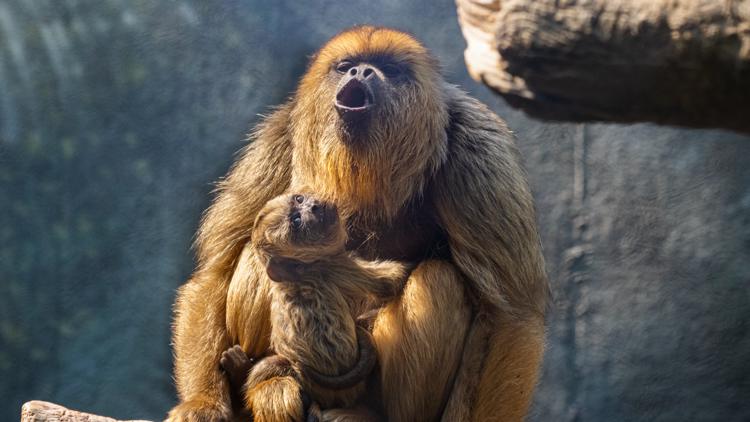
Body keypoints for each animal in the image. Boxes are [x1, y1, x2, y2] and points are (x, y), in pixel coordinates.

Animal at [218, 192, 407, 420]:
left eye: (299, 199)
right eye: (297, 222)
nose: (314, 206)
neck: (300, 272)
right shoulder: (337, 266)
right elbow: (393, 280)